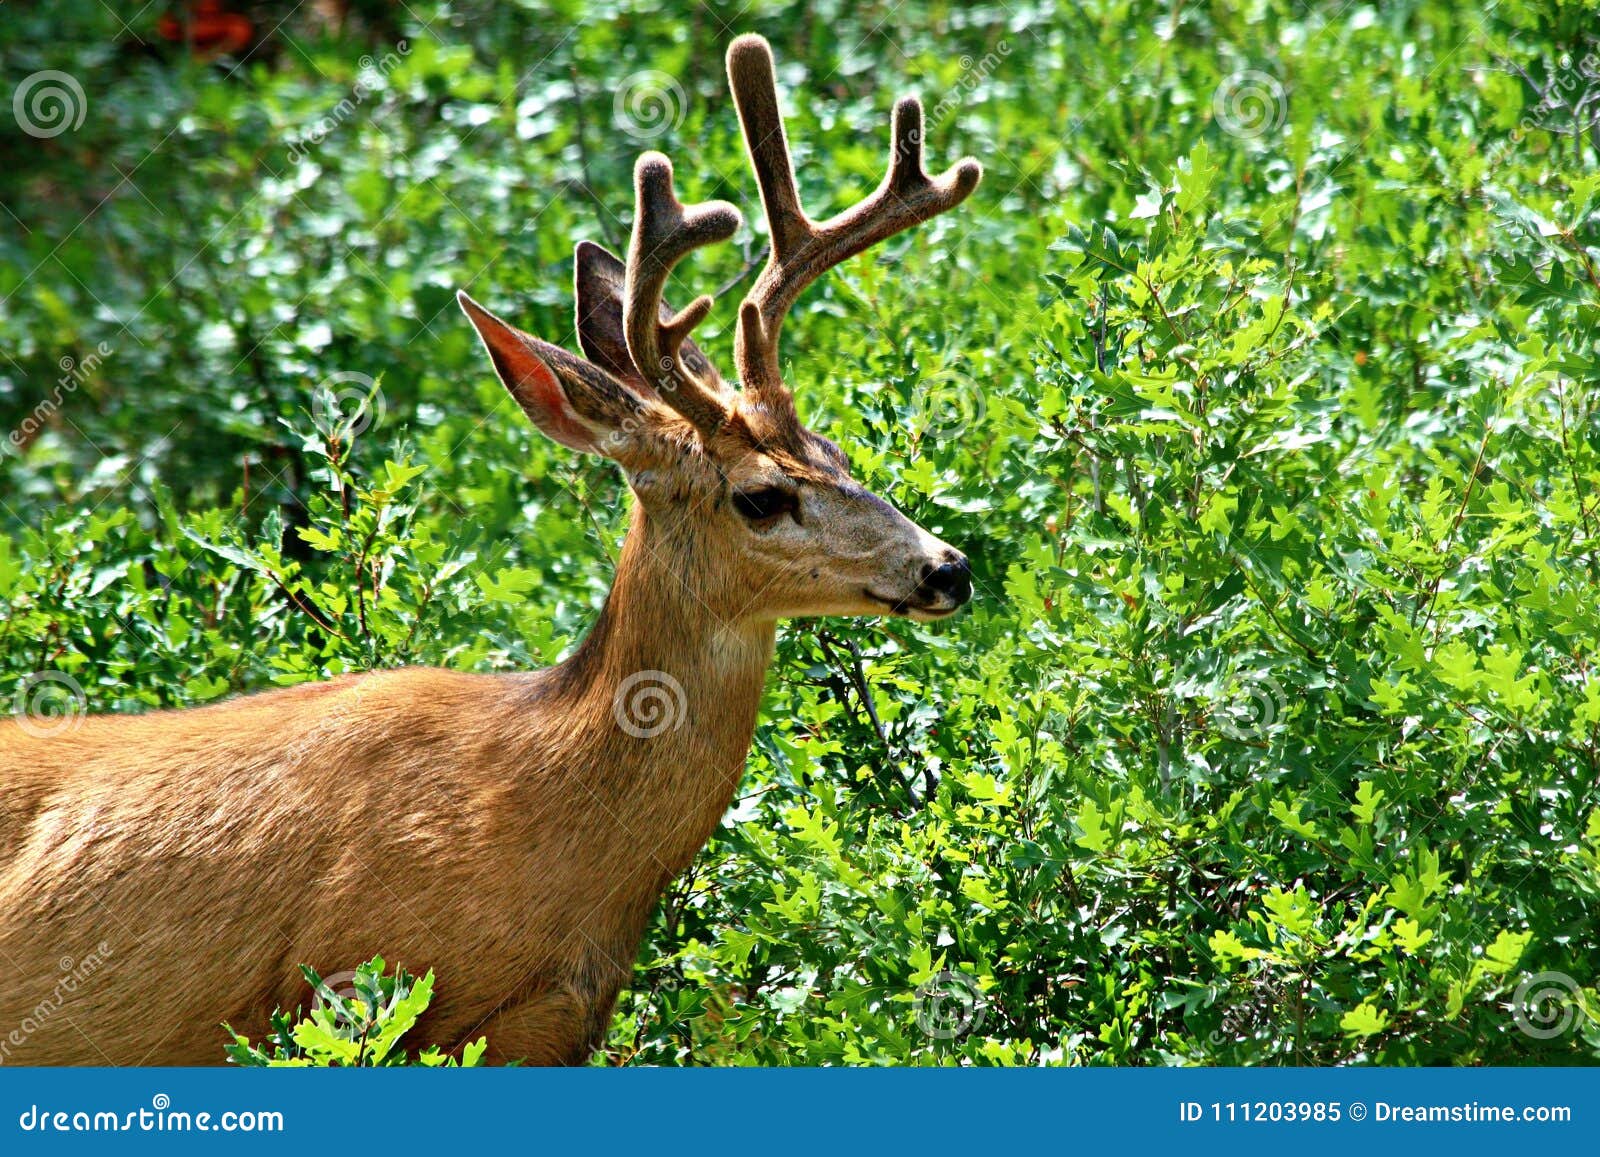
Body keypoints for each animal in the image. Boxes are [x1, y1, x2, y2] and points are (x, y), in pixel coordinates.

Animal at [0, 33, 981, 1065]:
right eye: (761, 495)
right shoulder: (346, 984)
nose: (947, 567)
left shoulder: (555, 1020)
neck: (541, 806)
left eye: (839, 451)